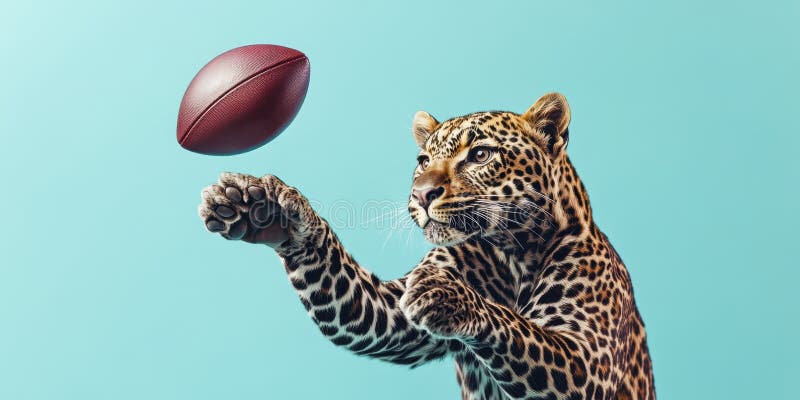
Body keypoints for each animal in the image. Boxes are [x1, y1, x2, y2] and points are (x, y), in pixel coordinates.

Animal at [198, 93, 656, 399]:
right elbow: (368, 310)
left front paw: (449, 296)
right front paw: (265, 207)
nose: (421, 194)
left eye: (481, 155)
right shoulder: (389, 315)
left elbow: (514, 323)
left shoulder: (588, 360)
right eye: (422, 161)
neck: (512, 252)